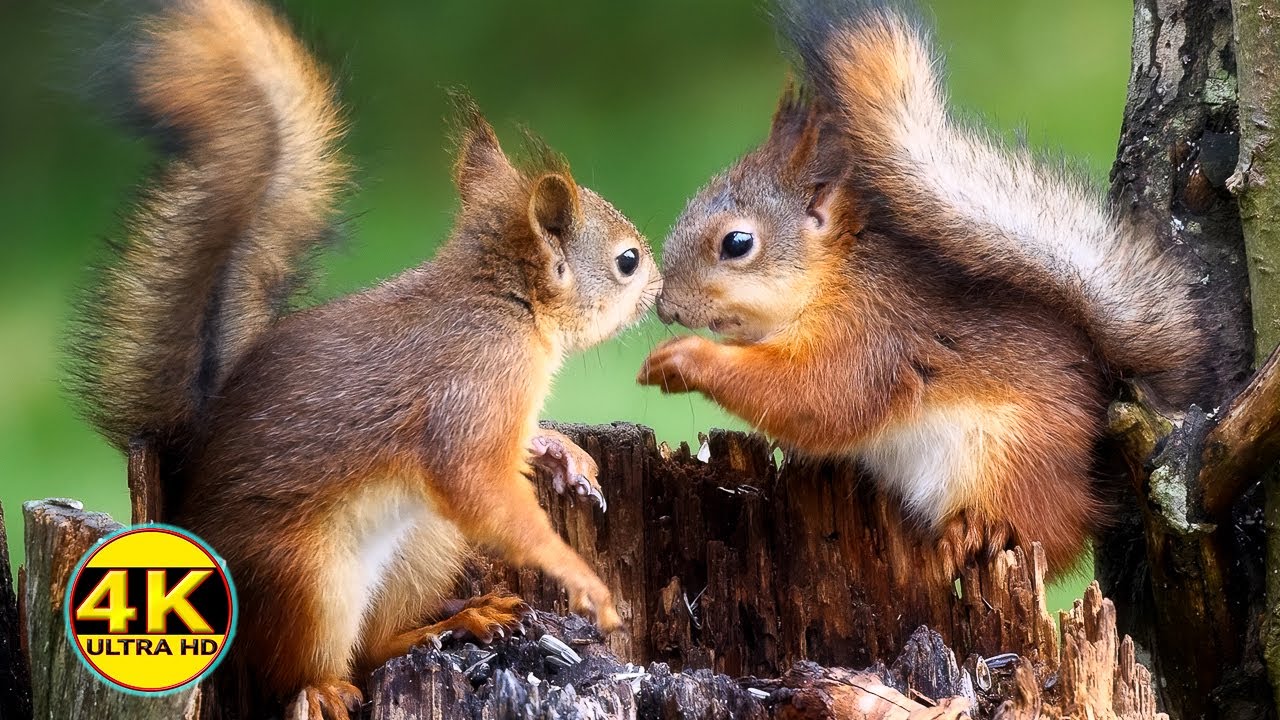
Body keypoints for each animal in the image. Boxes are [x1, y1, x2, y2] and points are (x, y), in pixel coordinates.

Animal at [69, 0, 658, 715]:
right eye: (627, 262)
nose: (659, 288)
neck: (503, 303)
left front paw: (560, 452)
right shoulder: (477, 385)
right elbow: (479, 484)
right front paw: (581, 577)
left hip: (422, 542)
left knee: (375, 647)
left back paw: (456, 622)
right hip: (307, 576)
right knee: (301, 664)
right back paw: (324, 688)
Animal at [639, 0, 1212, 582]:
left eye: (737, 243)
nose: (665, 307)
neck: (833, 278)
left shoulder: (876, 332)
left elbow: (819, 395)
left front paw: (686, 359)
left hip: (1009, 459)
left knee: (1039, 534)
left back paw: (973, 534)